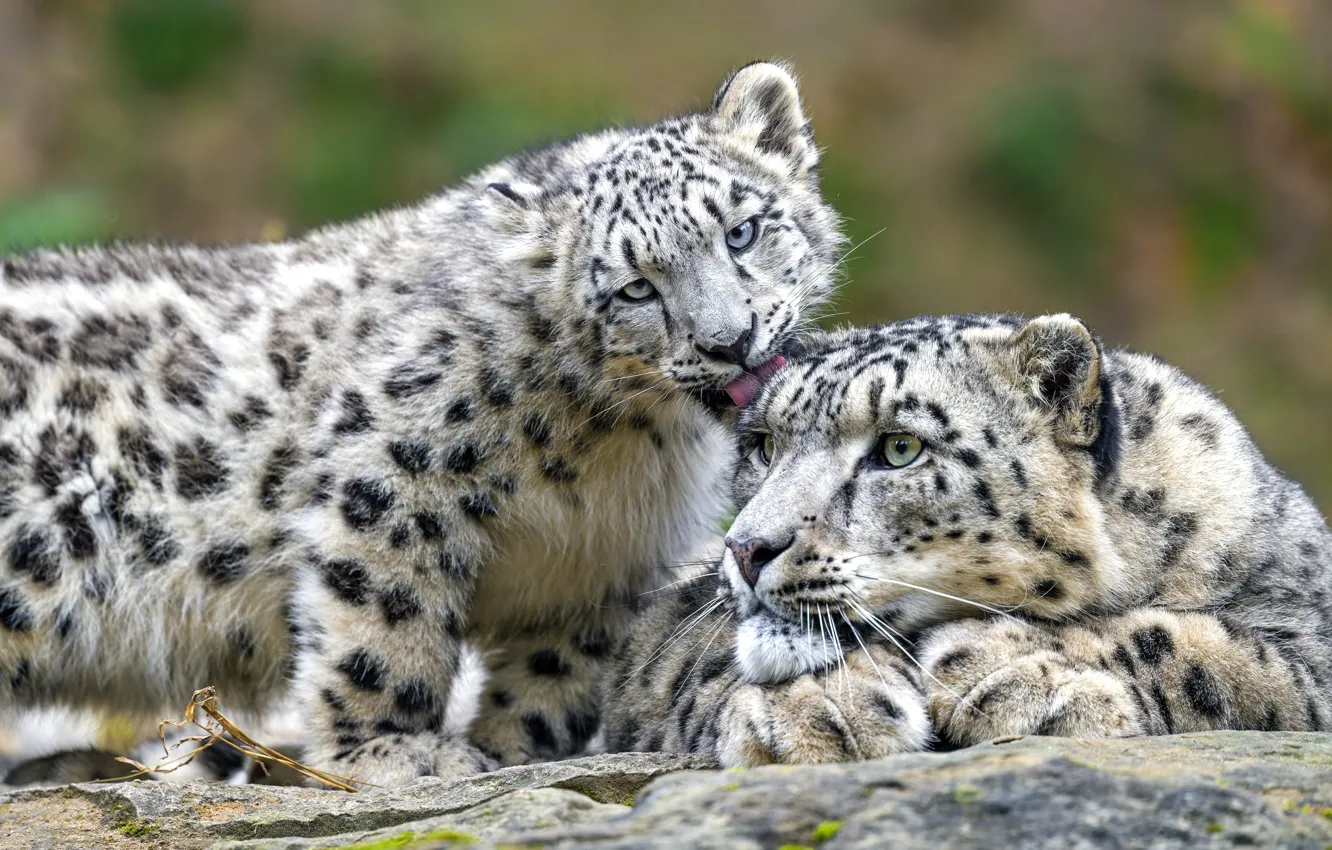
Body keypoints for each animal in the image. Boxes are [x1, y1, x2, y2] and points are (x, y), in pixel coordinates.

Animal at [0, 61, 844, 786]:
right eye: (635, 288)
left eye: (742, 230)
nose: (730, 339)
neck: (616, 449)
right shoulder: (390, 476)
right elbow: (384, 625)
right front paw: (393, 751)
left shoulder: (605, 558)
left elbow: (558, 671)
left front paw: (510, 749)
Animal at [605, 313, 1332, 767]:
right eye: (762, 446)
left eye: (900, 447)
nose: (748, 548)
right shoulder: (662, 620)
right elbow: (693, 655)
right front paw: (816, 708)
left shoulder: (1306, 630)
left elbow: (1216, 651)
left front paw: (1003, 666)